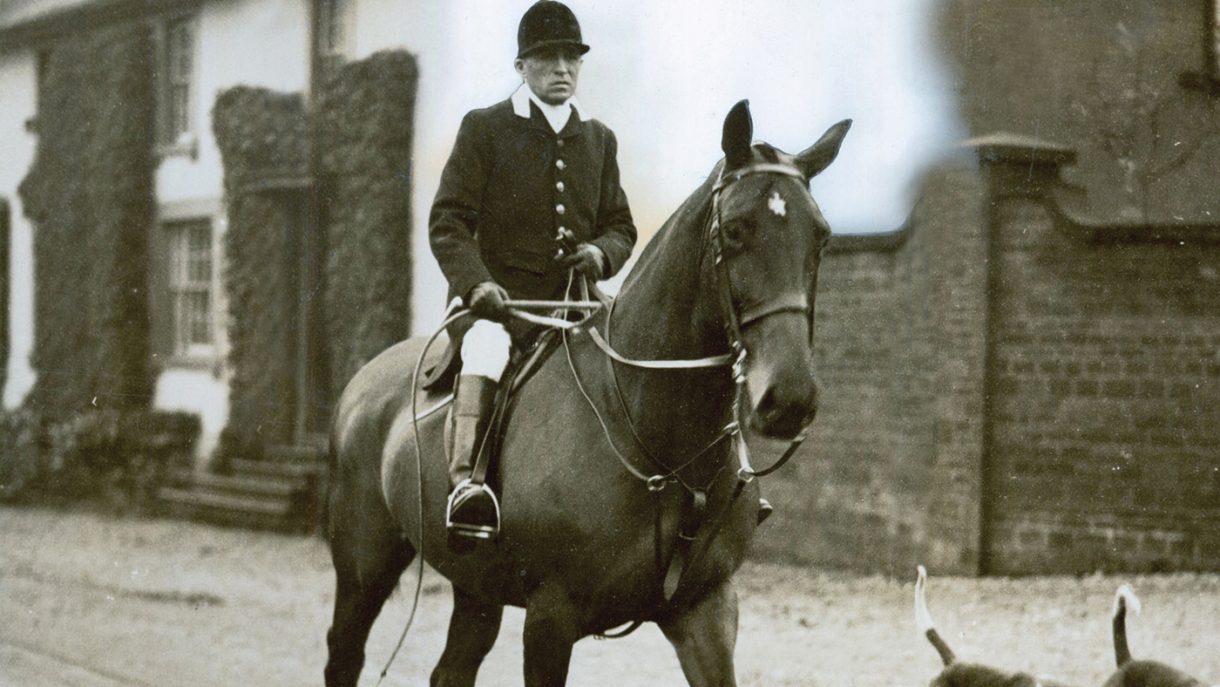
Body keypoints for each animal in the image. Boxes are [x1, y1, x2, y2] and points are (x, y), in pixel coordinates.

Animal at [324, 100, 850, 687]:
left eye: (822, 236)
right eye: (735, 230)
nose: (790, 399)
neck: (659, 440)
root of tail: (365, 379)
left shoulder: (707, 611)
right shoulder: (552, 617)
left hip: (476, 582)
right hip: (364, 565)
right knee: (344, 654)